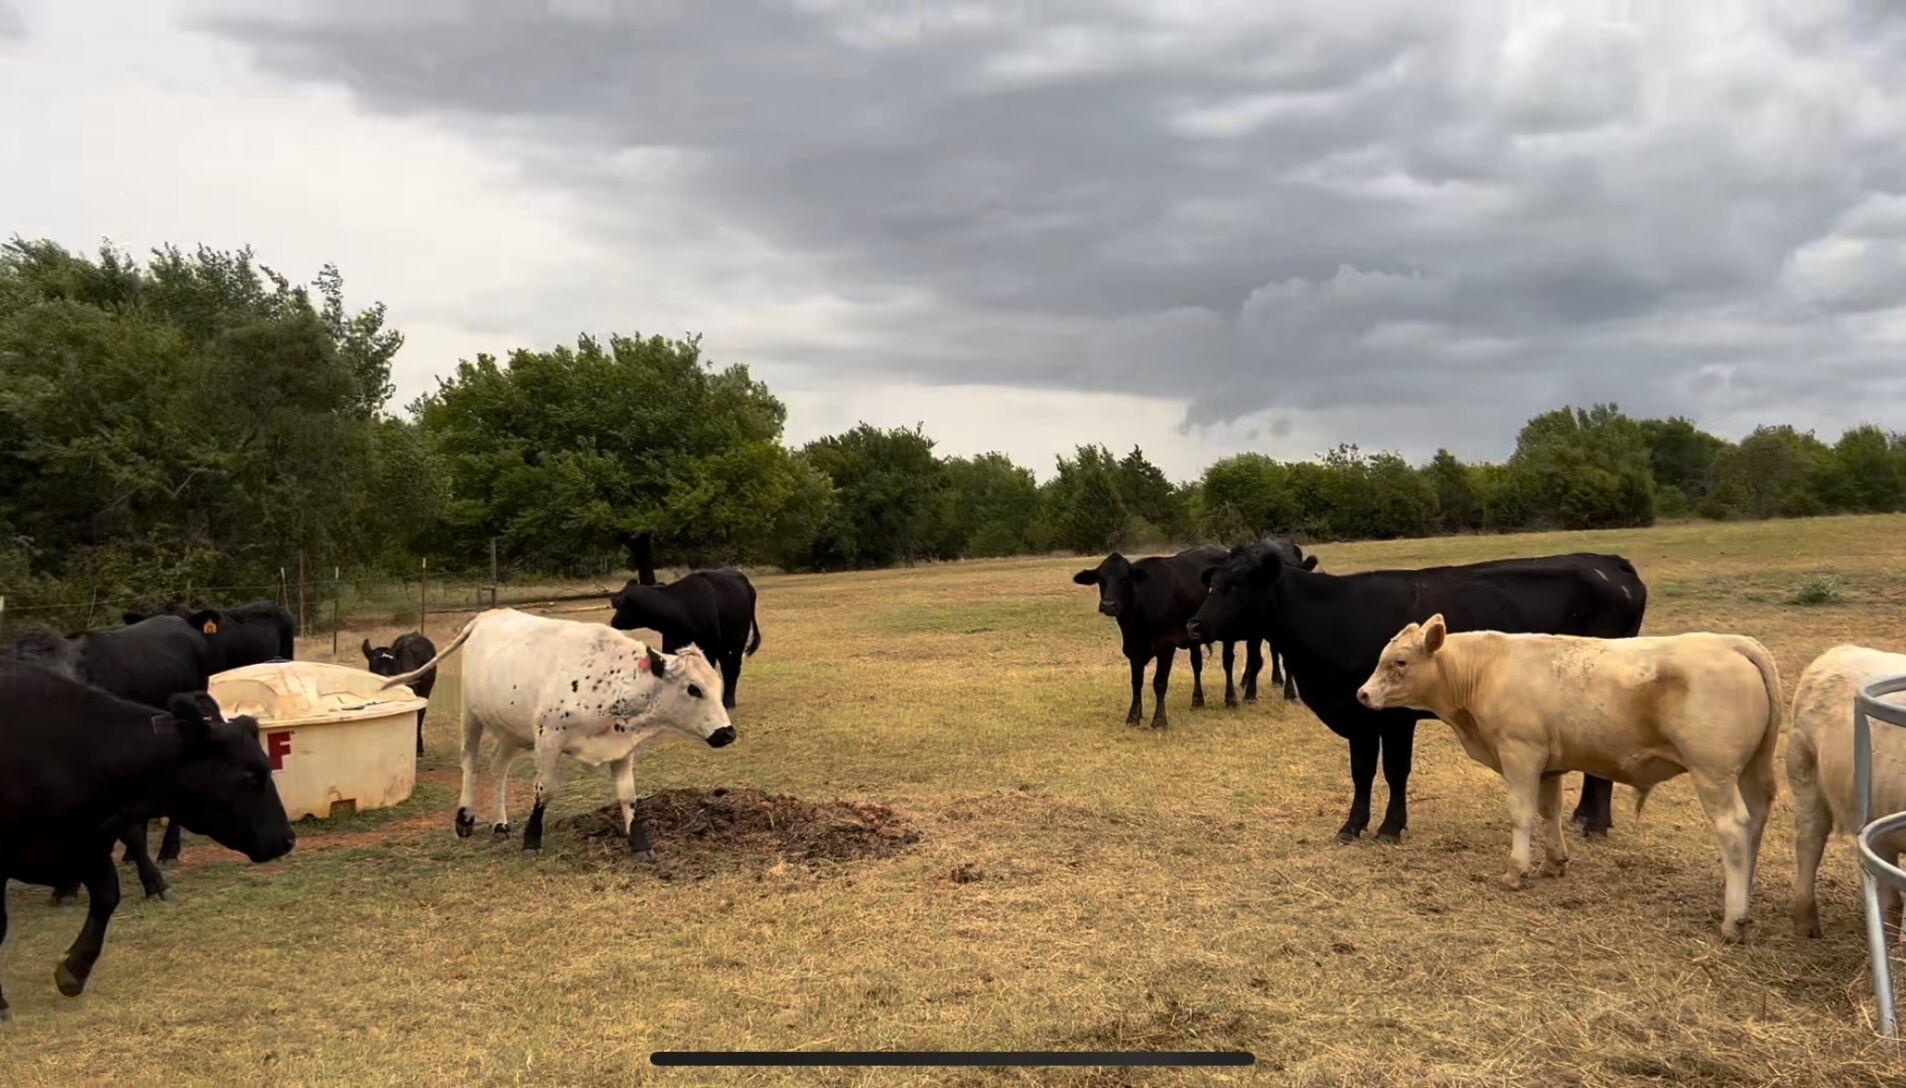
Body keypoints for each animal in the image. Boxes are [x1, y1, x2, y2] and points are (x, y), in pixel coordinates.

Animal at [376, 609, 735, 859]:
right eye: (694, 688)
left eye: (716, 685)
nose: (727, 733)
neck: (609, 679)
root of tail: (487, 616)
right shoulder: (549, 737)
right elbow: (545, 790)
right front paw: (531, 840)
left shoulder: (621, 747)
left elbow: (628, 796)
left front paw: (640, 844)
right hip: (472, 715)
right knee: (469, 762)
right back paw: (465, 818)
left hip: (511, 730)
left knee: (498, 766)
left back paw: (500, 823)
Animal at [607, 569, 761, 710]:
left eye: (619, 603)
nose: (613, 621)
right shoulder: (670, 644)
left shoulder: (710, 648)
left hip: (737, 641)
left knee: (732, 668)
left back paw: (728, 702)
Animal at [1073, 544, 1267, 728]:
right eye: (1101, 580)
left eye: (1124, 579)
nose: (1108, 605)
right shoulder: (1133, 650)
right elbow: (1136, 682)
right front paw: (1133, 717)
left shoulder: (1166, 647)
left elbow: (1159, 683)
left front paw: (1159, 720)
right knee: (1196, 664)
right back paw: (1198, 700)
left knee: (1228, 662)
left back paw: (1231, 699)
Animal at [1186, 546, 1645, 842]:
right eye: (1212, 584)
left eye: (1238, 585)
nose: (1193, 625)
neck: (1332, 614)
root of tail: (1608, 563)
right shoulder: (1357, 714)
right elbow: (1361, 770)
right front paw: (1352, 825)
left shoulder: (1393, 717)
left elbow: (1394, 771)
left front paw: (1390, 827)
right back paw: (1584, 815)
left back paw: (1596, 823)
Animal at [1355, 617, 1781, 942]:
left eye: (1400, 662)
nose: (1362, 694)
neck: (1486, 669)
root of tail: (1734, 643)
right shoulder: (1548, 764)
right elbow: (1549, 810)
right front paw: (1553, 861)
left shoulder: (1520, 752)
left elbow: (1521, 812)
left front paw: (1516, 870)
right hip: (1750, 771)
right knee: (1755, 825)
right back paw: (1745, 902)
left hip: (1713, 773)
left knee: (1733, 830)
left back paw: (1733, 920)